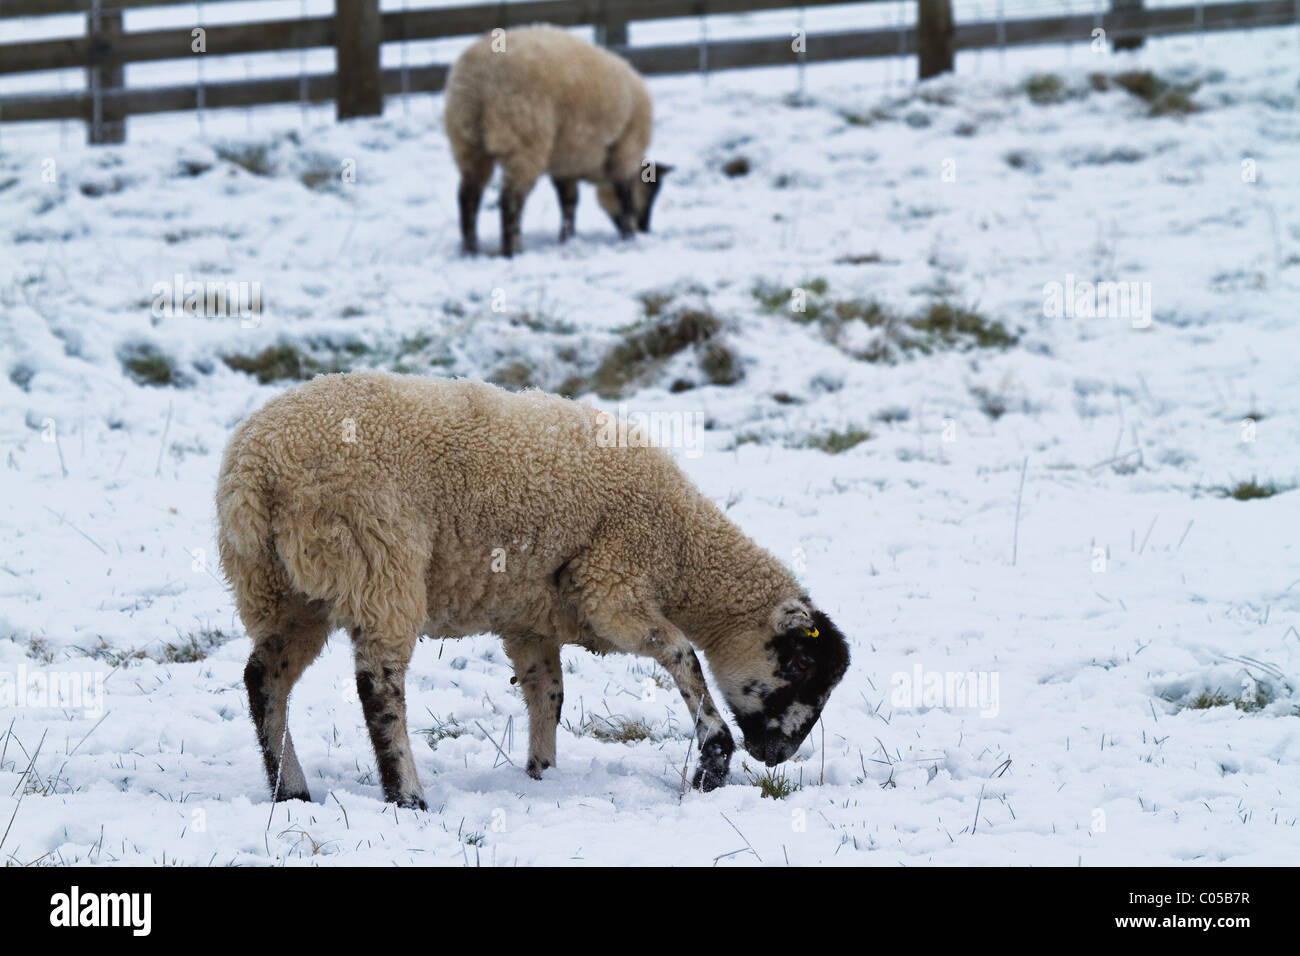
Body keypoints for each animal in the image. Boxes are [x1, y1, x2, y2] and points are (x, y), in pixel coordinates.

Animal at [217, 372, 850, 807]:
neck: (681, 550)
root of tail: (255, 473)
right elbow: (682, 655)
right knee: (379, 685)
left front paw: (542, 772)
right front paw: (714, 760)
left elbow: (549, 691)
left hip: (282, 589)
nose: (778, 756)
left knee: (264, 679)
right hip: (378, 561)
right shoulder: (611, 585)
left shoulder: (528, 619)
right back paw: (407, 794)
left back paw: (290, 789)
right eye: (801, 668)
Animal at [443, 24, 671, 257]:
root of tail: (479, 78)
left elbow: (569, 201)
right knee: (510, 200)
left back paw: (470, 249)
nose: (645, 229)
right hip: (524, 140)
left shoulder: (566, 160)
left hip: (466, 143)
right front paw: (629, 237)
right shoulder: (624, 150)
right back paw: (512, 250)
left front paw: (566, 238)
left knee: (468, 197)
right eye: (650, 192)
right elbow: (625, 198)